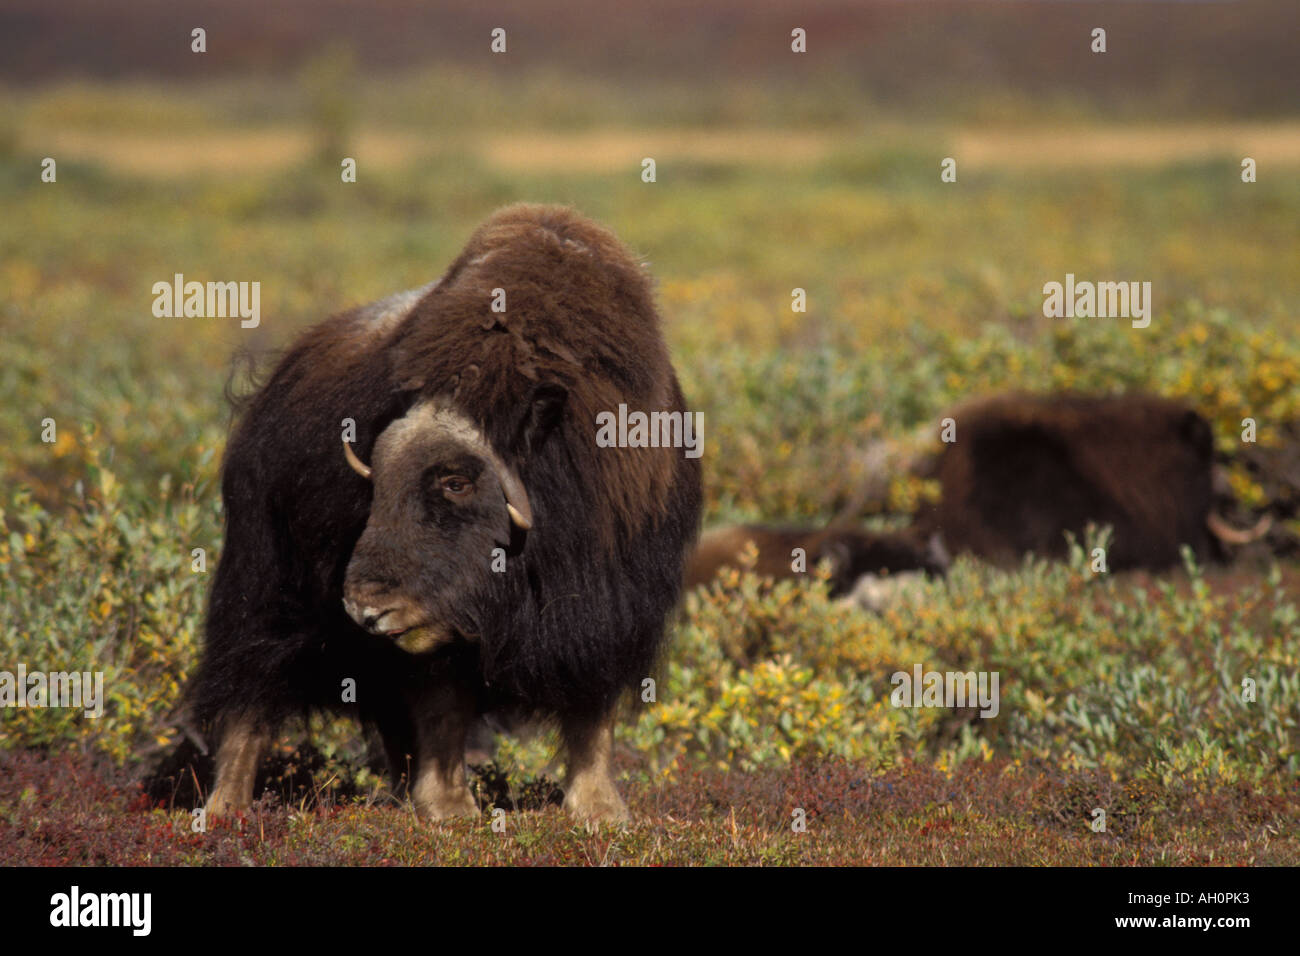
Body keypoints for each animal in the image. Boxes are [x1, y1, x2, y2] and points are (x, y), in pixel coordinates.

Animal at [189, 204, 703, 824]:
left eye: (456, 482)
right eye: (377, 479)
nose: (364, 609)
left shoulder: (613, 606)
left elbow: (591, 711)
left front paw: (600, 813)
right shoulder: (438, 626)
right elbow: (443, 705)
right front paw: (450, 810)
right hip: (262, 583)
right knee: (250, 691)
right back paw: (225, 811)